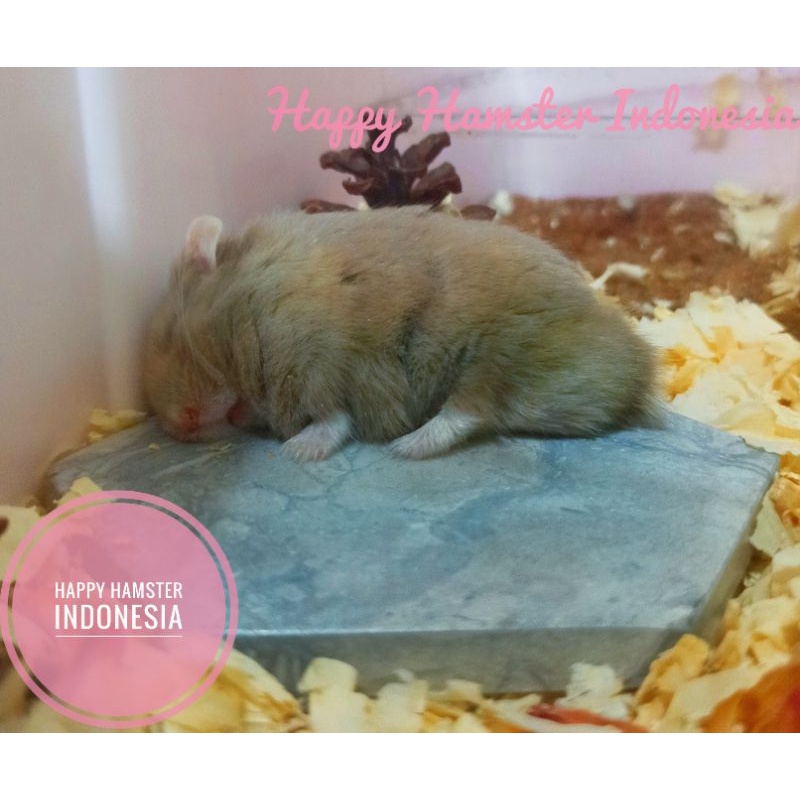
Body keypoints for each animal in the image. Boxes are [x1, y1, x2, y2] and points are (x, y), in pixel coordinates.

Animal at [142, 207, 659, 461]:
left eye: (167, 337)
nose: (178, 426)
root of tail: (640, 373)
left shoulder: (317, 364)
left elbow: (331, 419)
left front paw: (295, 453)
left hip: (495, 353)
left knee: (469, 411)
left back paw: (404, 448)